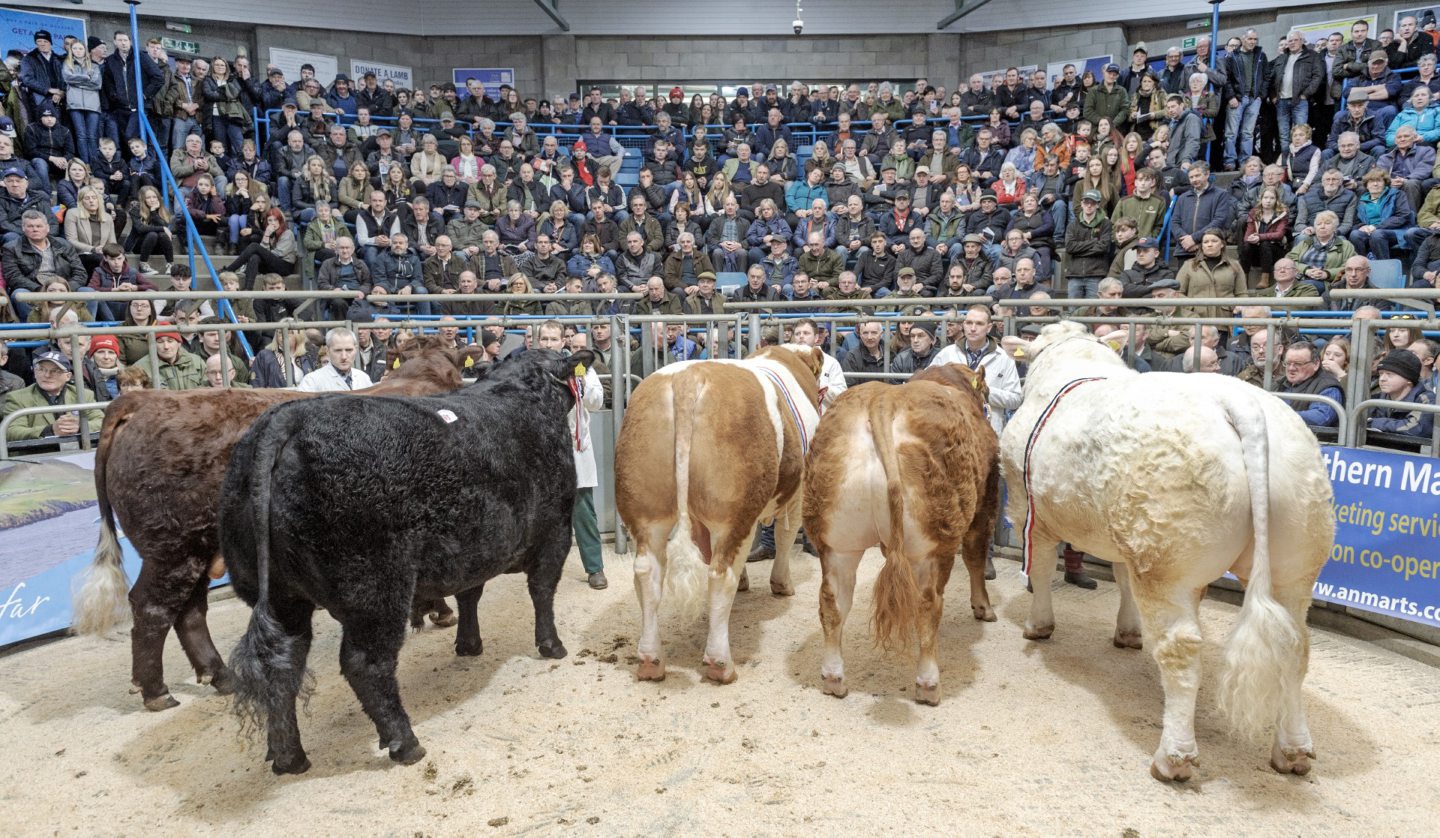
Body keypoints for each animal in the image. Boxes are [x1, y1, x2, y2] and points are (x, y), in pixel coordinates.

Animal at [71, 338, 475, 712]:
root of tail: (143, 401)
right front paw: (439, 611)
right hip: (173, 549)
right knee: (152, 608)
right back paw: (156, 691)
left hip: (195, 550)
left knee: (189, 611)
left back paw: (221, 676)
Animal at [221, 349, 592, 774]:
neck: (519, 389)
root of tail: (286, 418)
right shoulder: (555, 529)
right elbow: (542, 590)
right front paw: (552, 645)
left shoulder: (474, 548)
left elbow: (470, 594)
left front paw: (469, 644)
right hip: (374, 587)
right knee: (365, 663)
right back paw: (406, 743)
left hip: (280, 594)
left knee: (283, 665)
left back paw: (288, 756)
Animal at [615, 344, 823, 684]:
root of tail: (688, 377)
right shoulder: (798, 495)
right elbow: (785, 536)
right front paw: (782, 584)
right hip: (733, 513)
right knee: (720, 575)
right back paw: (721, 663)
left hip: (646, 509)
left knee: (648, 573)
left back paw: (650, 660)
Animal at [802, 364, 1000, 705]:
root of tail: (883, 399)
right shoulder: (985, 502)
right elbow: (976, 557)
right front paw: (983, 607)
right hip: (933, 544)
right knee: (928, 604)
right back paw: (929, 684)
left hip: (837, 542)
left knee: (833, 600)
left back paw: (833, 678)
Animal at [1000, 321, 1333, 782]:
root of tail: (1240, 401)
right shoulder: (1123, 539)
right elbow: (1121, 579)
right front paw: (1128, 632)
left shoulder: (1029, 510)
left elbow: (1043, 570)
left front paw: (1039, 625)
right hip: (1295, 559)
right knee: (1295, 647)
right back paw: (1293, 749)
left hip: (1165, 557)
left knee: (1181, 649)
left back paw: (1174, 756)